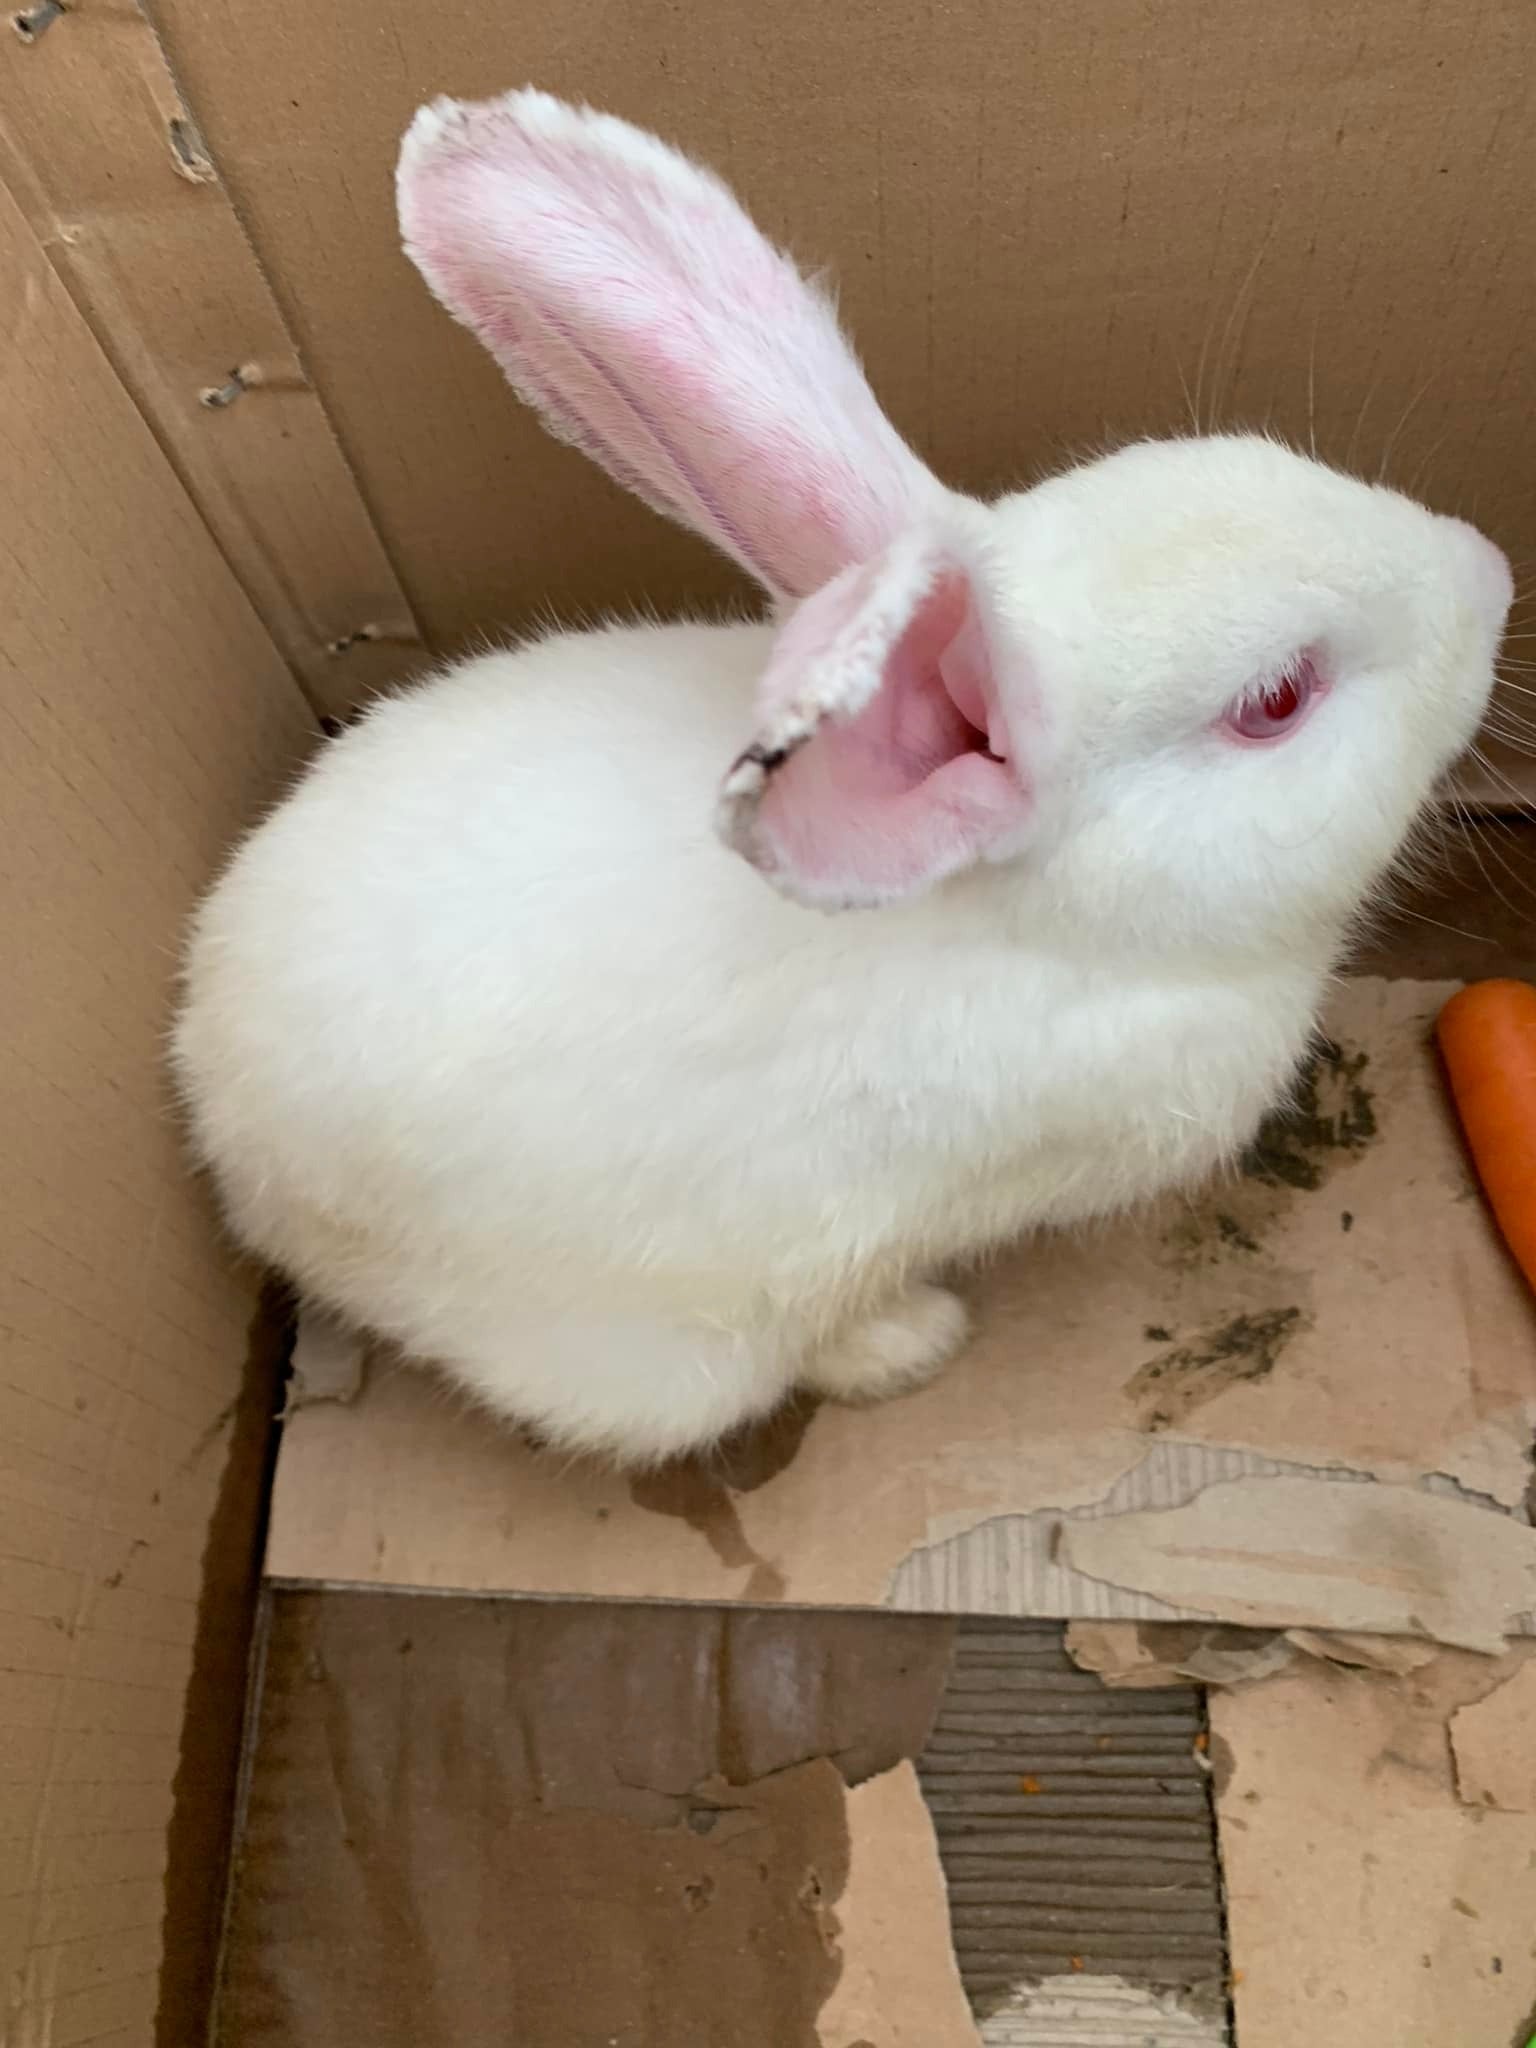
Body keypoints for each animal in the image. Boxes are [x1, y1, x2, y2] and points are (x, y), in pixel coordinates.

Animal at [171, 87, 1511, 1466]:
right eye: (1277, 701)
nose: (1490, 567)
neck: (1047, 920)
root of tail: (228, 1144)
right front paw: (909, 1336)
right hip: (662, 1348)